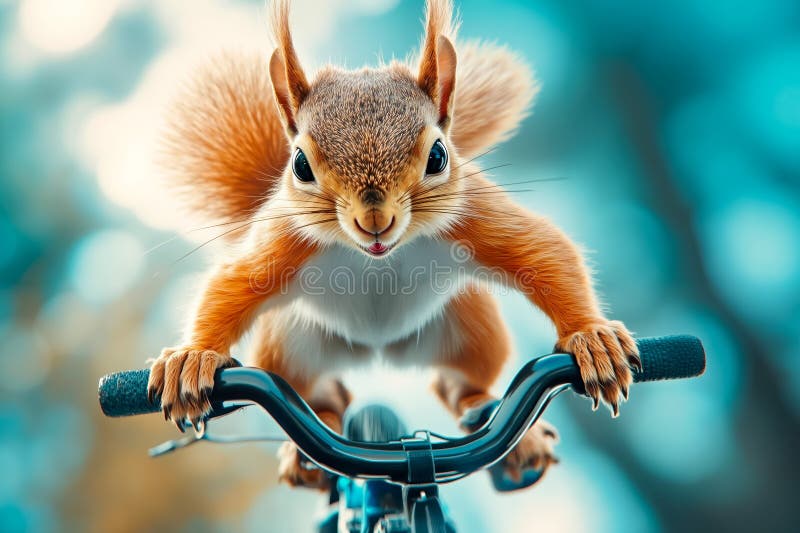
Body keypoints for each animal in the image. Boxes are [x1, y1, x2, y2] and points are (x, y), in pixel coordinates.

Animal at [147, 0, 641, 489]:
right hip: (291, 346)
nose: (375, 221)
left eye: (439, 155)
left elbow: (543, 251)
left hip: (470, 329)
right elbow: (232, 283)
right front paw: (193, 358)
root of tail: (379, 351)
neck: (377, 260)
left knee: (457, 383)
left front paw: (590, 338)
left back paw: (500, 419)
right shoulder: (287, 239)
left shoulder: (472, 215)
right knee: (320, 396)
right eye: (301, 165)